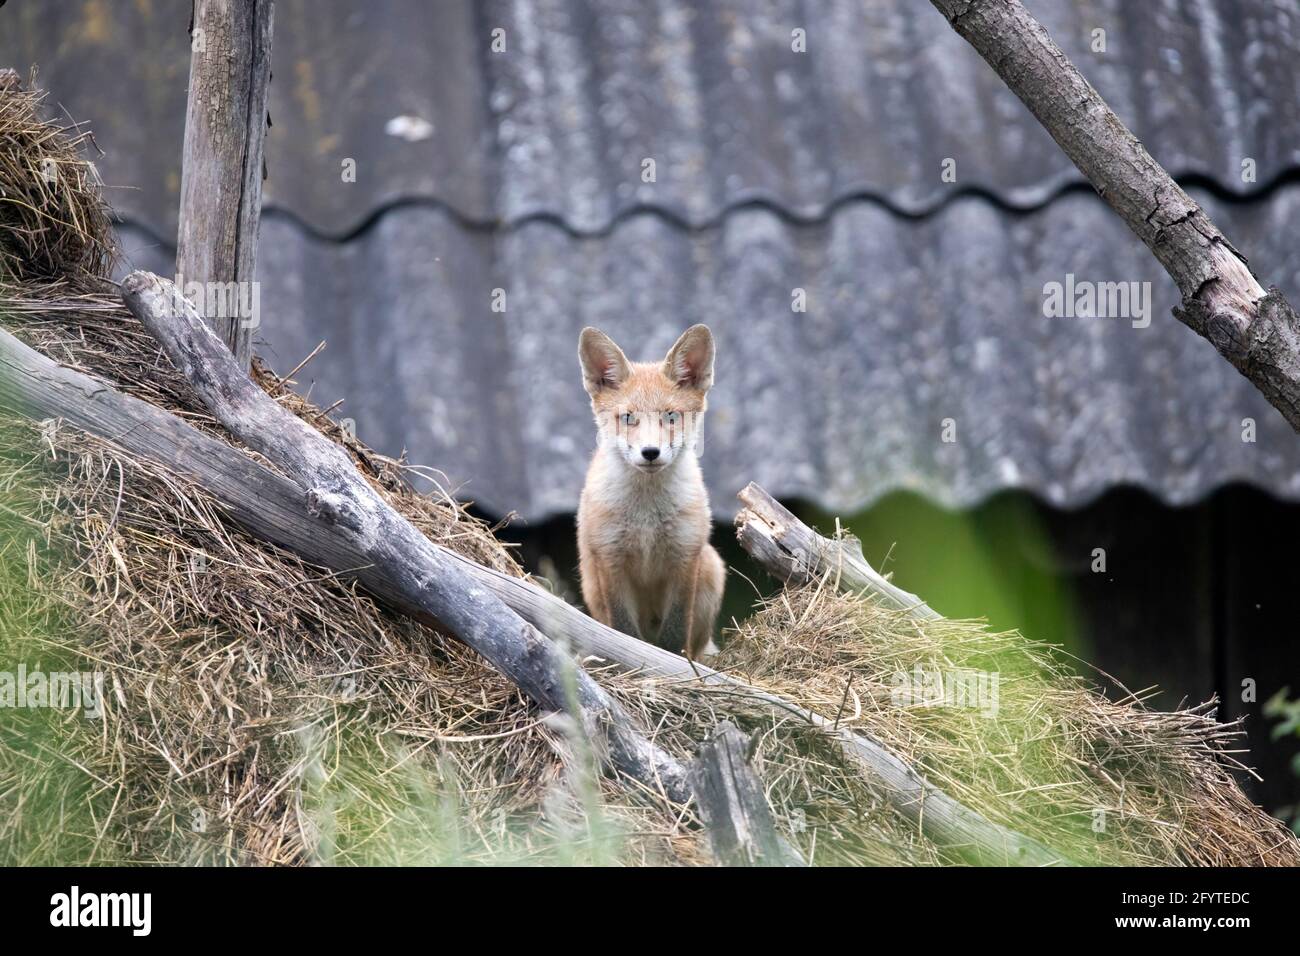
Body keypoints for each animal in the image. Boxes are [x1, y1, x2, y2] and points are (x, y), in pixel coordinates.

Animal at [576, 324, 726, 659]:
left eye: (670, 417)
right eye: (628, 418)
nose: (650, 452)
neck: (645, 516)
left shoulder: (685, 557)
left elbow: (676, 632)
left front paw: (677, 662)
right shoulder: (610, 559)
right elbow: (623, 632)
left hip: (711, 568)